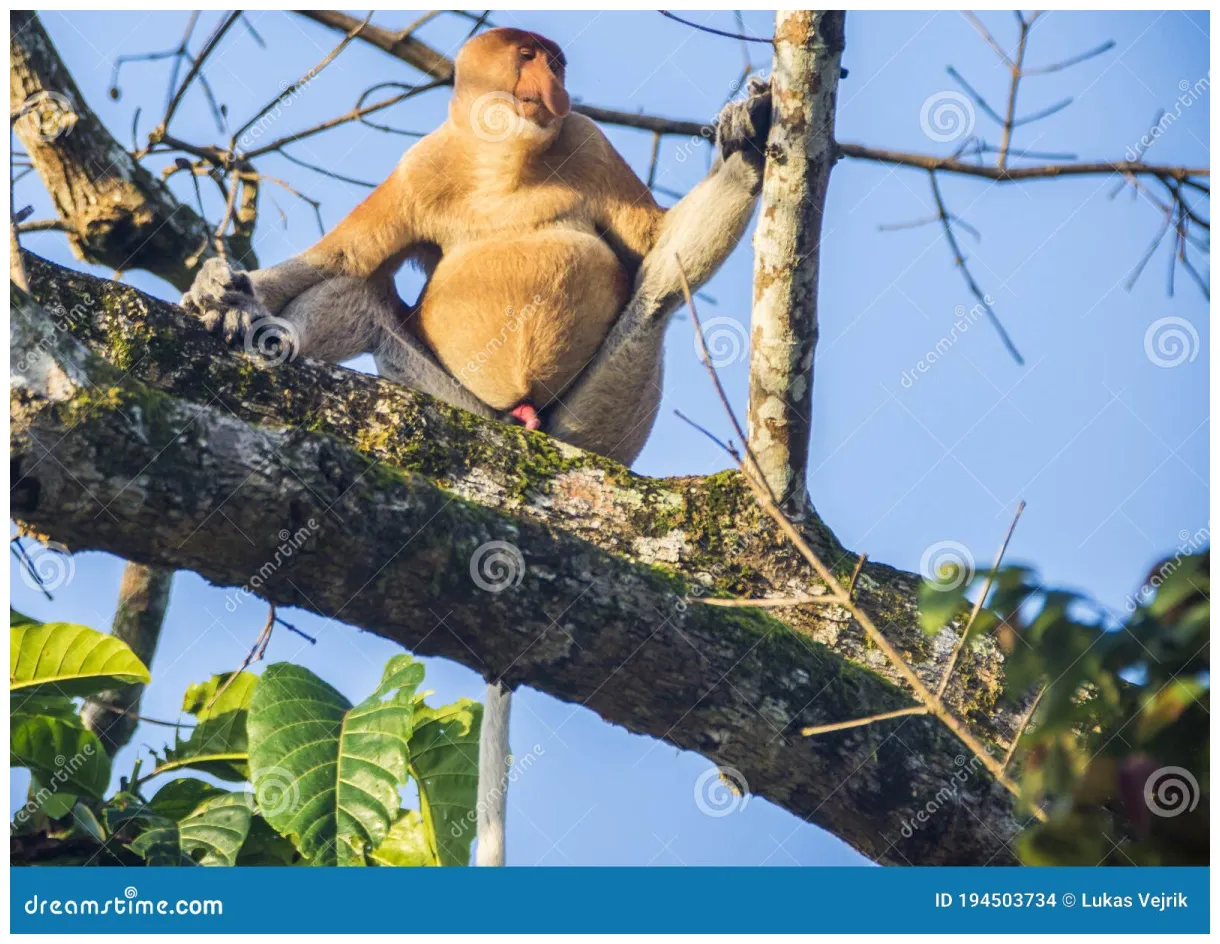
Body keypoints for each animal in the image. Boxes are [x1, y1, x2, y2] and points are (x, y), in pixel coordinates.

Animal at [181, 26, 772, 865]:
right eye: (529, 55)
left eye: (555, 60)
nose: (554, 78)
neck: (505, 163)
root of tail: (519, 422)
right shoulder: (421, 168)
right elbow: (338, 261)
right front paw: (219, 295)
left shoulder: (584, 139)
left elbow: (654, 246)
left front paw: (747, 141)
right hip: (447, 394)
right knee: (360, 298)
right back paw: (269, 337)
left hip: (593, 422)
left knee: (658, 292)